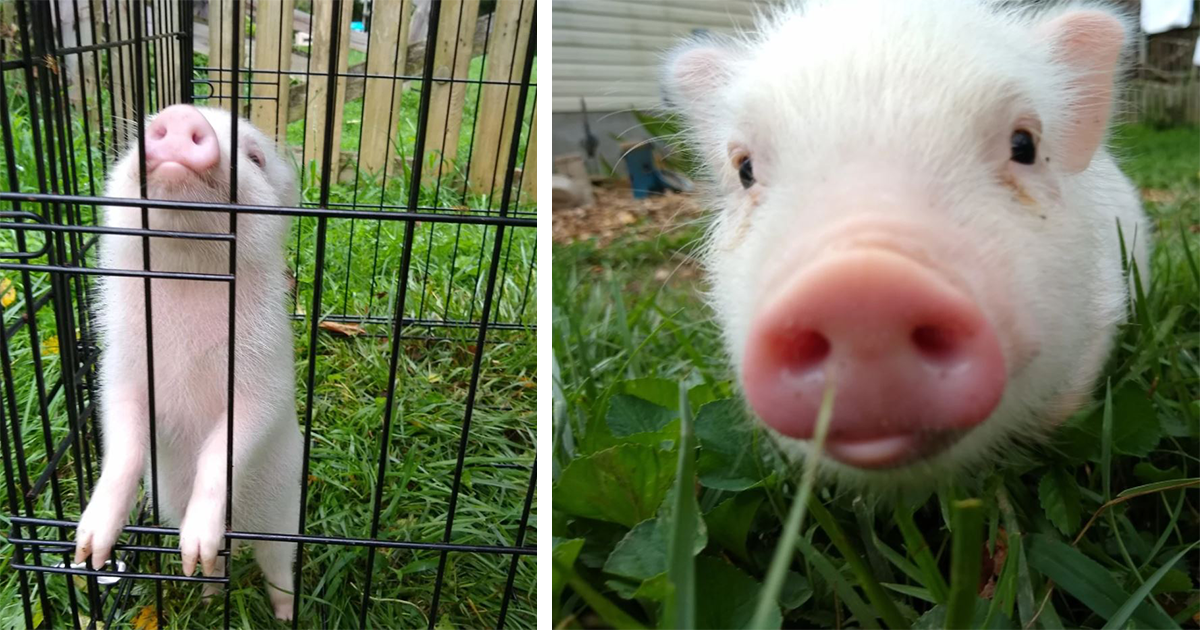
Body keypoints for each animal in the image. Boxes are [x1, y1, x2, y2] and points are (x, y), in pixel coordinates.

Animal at [72, 105, 303, 619]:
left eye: (255, 157)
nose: (181, 115)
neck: (187, 276)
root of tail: (242, 533)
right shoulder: (121, 368)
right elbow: (123, 443)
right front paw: (89, 551)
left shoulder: (267, 374)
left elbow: (227, 443)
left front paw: (195, 543)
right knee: (221, 568)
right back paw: (204, 586)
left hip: (284, 518)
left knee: (278, 568)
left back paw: (282, 612)